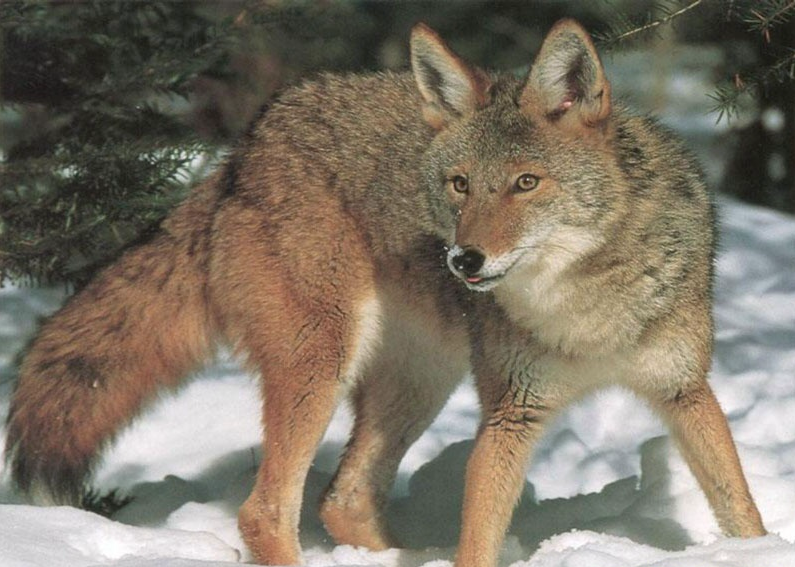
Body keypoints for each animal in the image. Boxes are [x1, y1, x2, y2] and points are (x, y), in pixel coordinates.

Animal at [5, 18, 765, 567]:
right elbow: (477, 544)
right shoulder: (510, 416)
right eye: (460, 184)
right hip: (323, 364)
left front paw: (756, 551)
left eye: (526, 183)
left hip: (421, 380)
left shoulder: (684, 392)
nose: (464, 258)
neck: (582, 310)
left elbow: (741, 509)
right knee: (268, 509)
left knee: (343, 498)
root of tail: (241, 152)